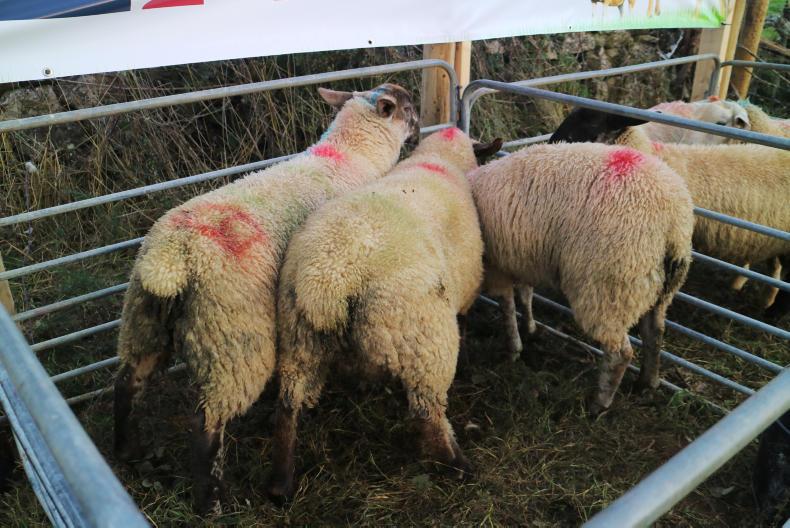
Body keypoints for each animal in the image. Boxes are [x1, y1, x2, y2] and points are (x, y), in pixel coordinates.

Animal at [112, 83, 418, 514]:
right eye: (409, 109)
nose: (419, 129)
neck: (348, 156)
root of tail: (173, 259)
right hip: (234, 340)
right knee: (206, 423)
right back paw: (212, 503)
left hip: (142, 321)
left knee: (127, 384)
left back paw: (128, 450)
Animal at [266, 128, 502, 501]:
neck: (438, 162)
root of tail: (329, 278)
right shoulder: (464, 294)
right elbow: (464, 325)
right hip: (422, 340)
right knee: (427, 411)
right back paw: (458, 464)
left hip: (298, 336)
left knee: (289, 404)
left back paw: (280, 483)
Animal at [469, 141, 694, 414]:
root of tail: (673, 222)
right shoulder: (523, 259)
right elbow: (525, 296)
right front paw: (530, 327)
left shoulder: (497, 268)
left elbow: (507, 307)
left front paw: (513, 350)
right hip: (661, 288)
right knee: (655, 333)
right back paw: (647, 383)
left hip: (609, 286)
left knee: (620, 352)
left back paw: (598, 403)